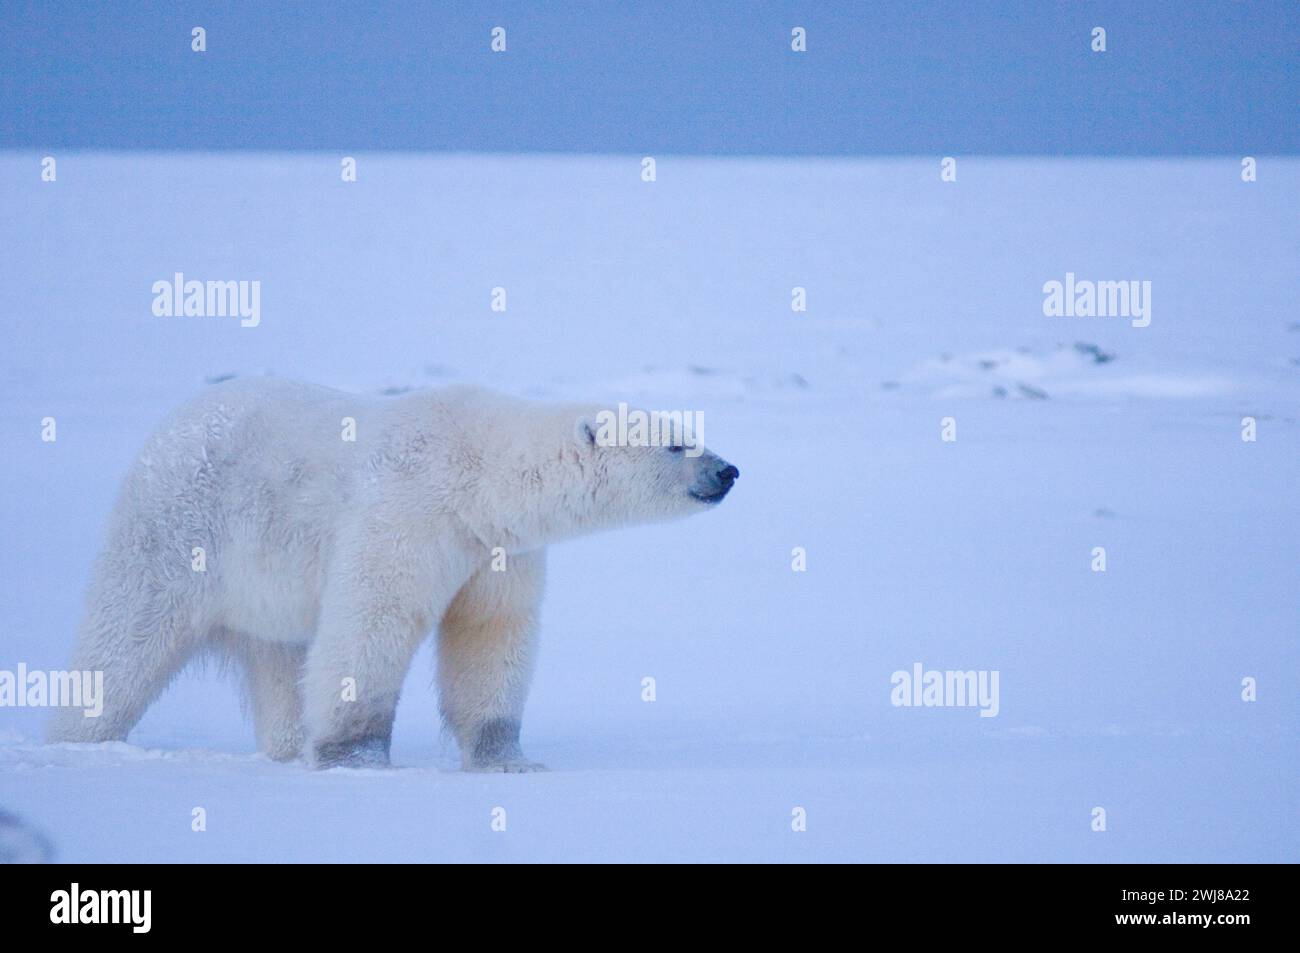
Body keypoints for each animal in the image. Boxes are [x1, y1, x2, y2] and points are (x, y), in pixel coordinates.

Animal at [47, 378, 738, 770]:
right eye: (677, 443)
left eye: (690, 431)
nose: (729, 470)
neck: (477, 473)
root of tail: (175, 421)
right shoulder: (407, 512)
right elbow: (371, 623)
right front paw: (355, 759)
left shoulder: (494, 549)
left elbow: (490, 634)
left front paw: (508, 760)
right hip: (177, 531)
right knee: (123, 641)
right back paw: (79, 739)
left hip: (264, 585)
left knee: (280, 660)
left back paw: (285, 746)